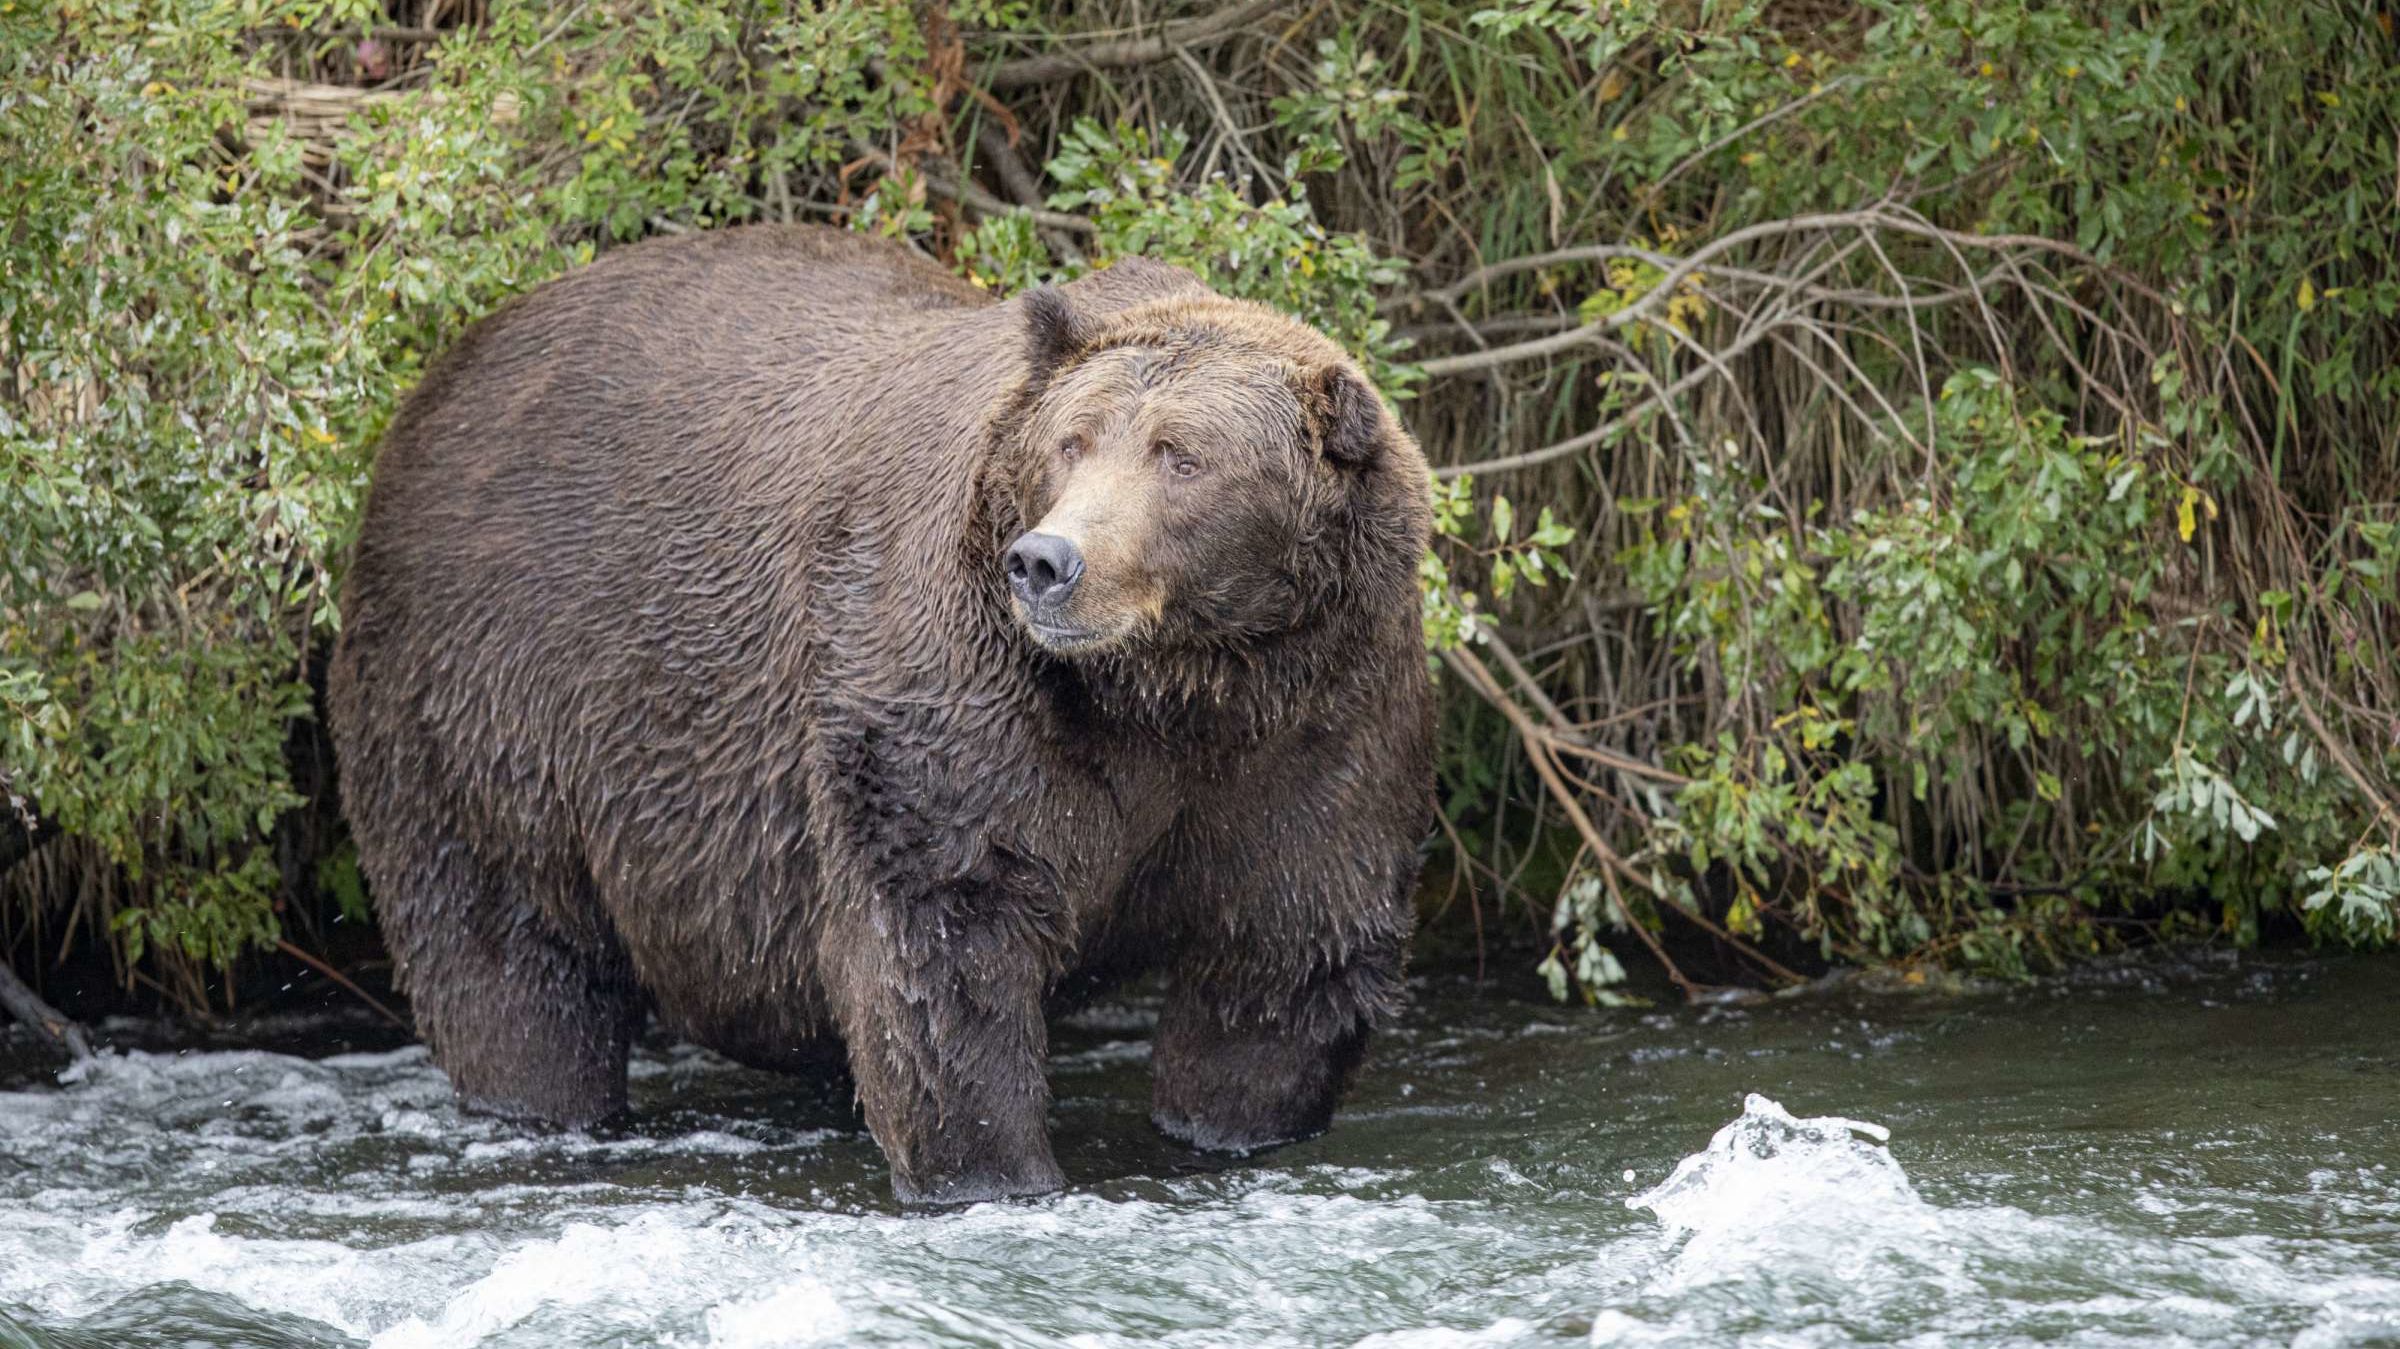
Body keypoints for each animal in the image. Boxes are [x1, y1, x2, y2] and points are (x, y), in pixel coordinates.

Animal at [327, 224, 1435, 1205]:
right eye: (1072, 441)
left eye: (1183, 454)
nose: (1047, 562)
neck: (1178, 688)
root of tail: (439, 378)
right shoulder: (964, 690)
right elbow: (946, 939)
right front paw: (995, 1173)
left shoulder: (1323, 722)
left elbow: (1287, 950)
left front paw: (1225, 1124)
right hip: (488, 695)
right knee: (508, 953)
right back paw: (542, 1102)